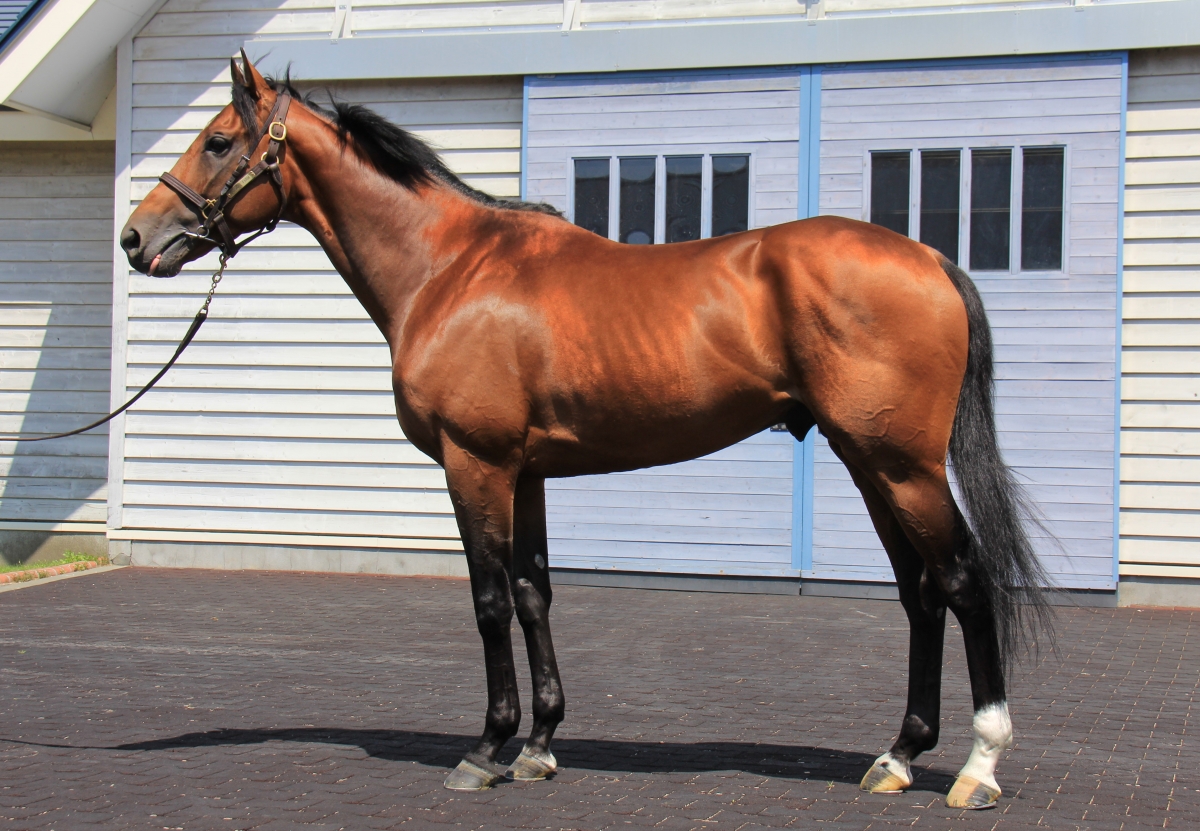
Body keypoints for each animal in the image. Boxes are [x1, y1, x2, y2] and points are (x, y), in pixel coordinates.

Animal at [119, 52, 1051, 809]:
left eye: (217, 140)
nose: (137, 239)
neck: (450, 269)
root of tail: (930, 259)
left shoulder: (475, 464)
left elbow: (490, 599)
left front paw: (486, 748)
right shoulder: (525, 472)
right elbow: (535, 592)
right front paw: (538, 746)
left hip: (903, 466)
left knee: (964, 580)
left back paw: (978, 766)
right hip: (871, 463)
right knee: (919, 592)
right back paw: (896, 756)